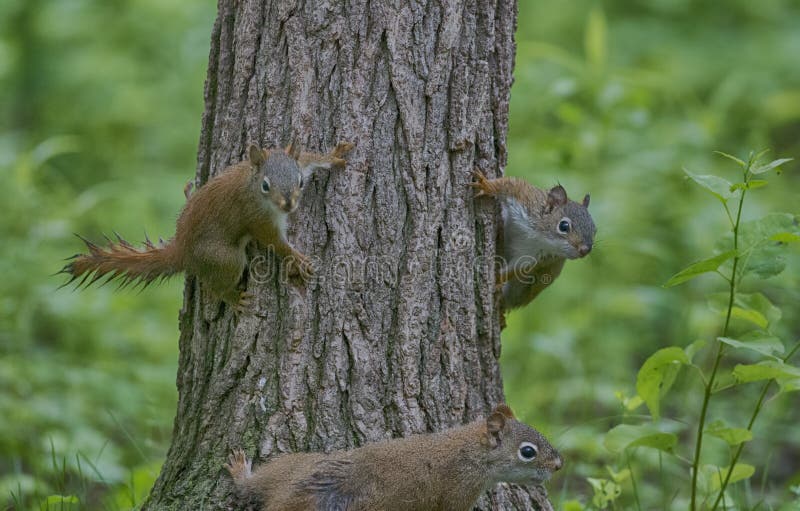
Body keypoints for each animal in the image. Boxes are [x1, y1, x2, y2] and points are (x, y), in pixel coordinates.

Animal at [60, 141, 353, 312]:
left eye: (300, 183)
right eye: (265, 185)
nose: (289, 205)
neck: (251, 183)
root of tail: (182, 249)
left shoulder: (295, 162)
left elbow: (310, 158)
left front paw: (334, 156)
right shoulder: (258, 219)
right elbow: (274, 242)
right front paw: (297, 258)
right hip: (225, 258)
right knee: (215, 285)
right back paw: (233, 299)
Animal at [224, 404, 562, 511]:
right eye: (528, 452)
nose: (558, 464)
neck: (470, 451)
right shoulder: (459, 491)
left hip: (288, 466)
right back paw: (240, 470)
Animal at [471, 170, 596, 308]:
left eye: (594, 230)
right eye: (564, 226)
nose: (585, 250)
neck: (540, 238)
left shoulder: (533, 258)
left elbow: (514, 270)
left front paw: (497, 279)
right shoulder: (525, 198)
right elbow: (508, 184)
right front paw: (486, 184)